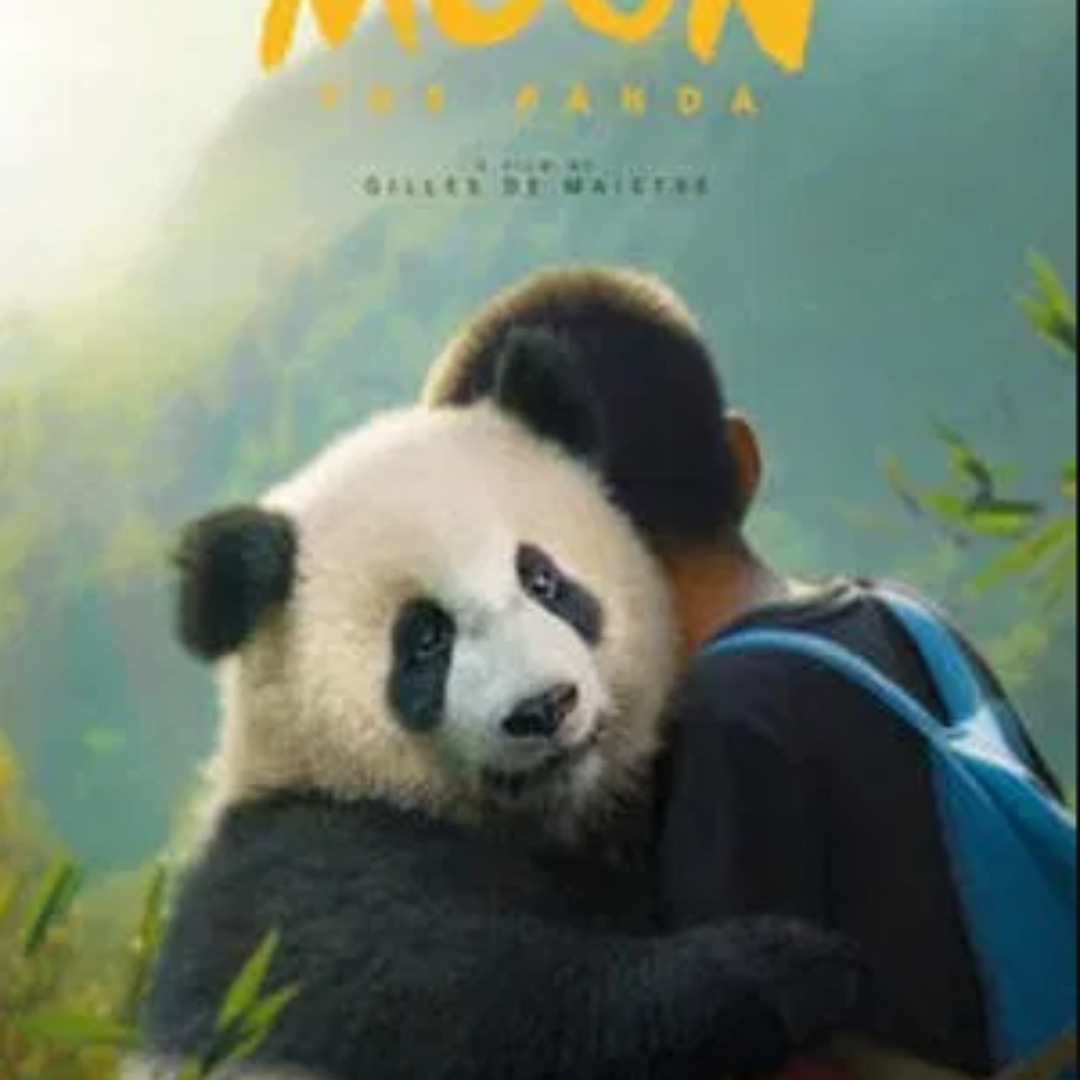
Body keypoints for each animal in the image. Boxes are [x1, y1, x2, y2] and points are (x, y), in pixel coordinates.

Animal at [127, 328, 865, 1080]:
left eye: (542, 579)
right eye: (426, 639)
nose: (543, 707)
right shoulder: (301, 887)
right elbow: (472, 1007)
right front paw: (784, 967)